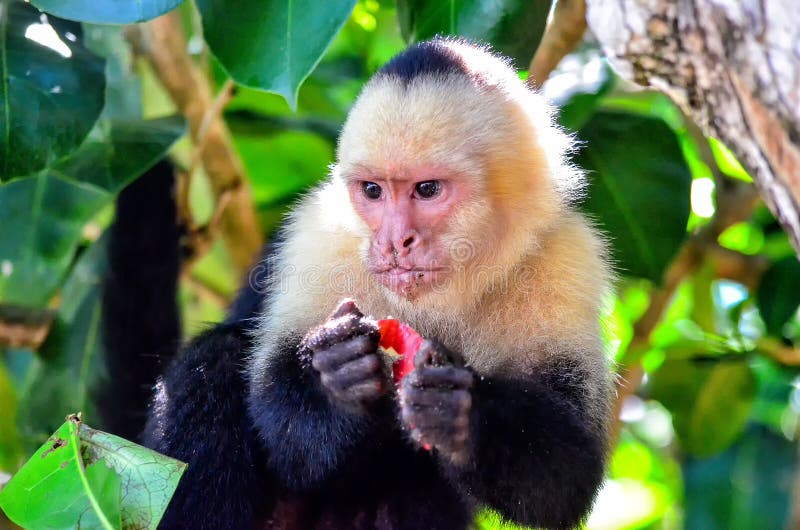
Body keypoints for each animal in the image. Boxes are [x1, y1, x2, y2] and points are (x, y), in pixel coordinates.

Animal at [117, 37, 613, 530]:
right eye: (373, 191)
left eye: (427, 189)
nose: (394, 241)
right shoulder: (318, 238)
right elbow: (286, 433)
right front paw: (338, 376)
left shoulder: (567, 257)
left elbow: (562, 481)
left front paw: (461, 413)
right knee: (215, 359)